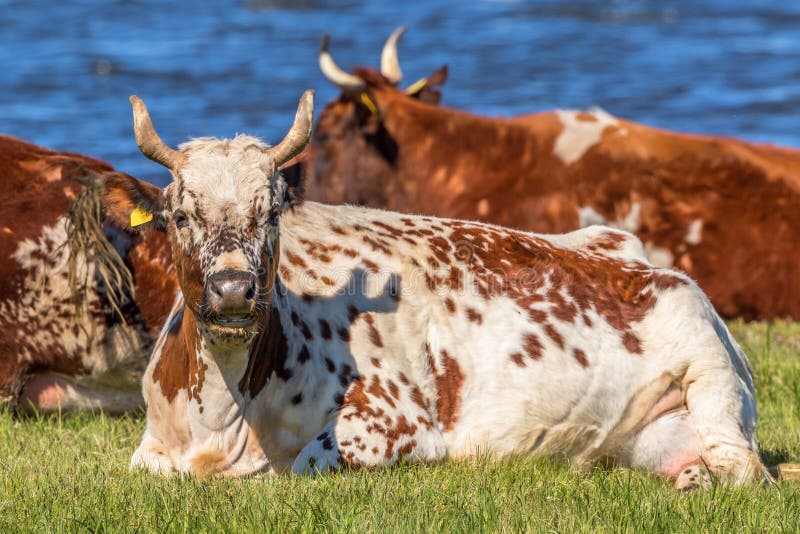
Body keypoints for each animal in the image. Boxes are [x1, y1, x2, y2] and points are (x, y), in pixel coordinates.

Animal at [117, 91, 766, 491]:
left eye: (270, 212)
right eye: (181, 215)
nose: (232, 290)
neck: (222, 417)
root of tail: (630, 252)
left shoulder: (394, 421)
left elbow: (305, 463)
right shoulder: (150, 445)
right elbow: (146, 467)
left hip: (709, 373)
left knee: (742, 468)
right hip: (649, 435)